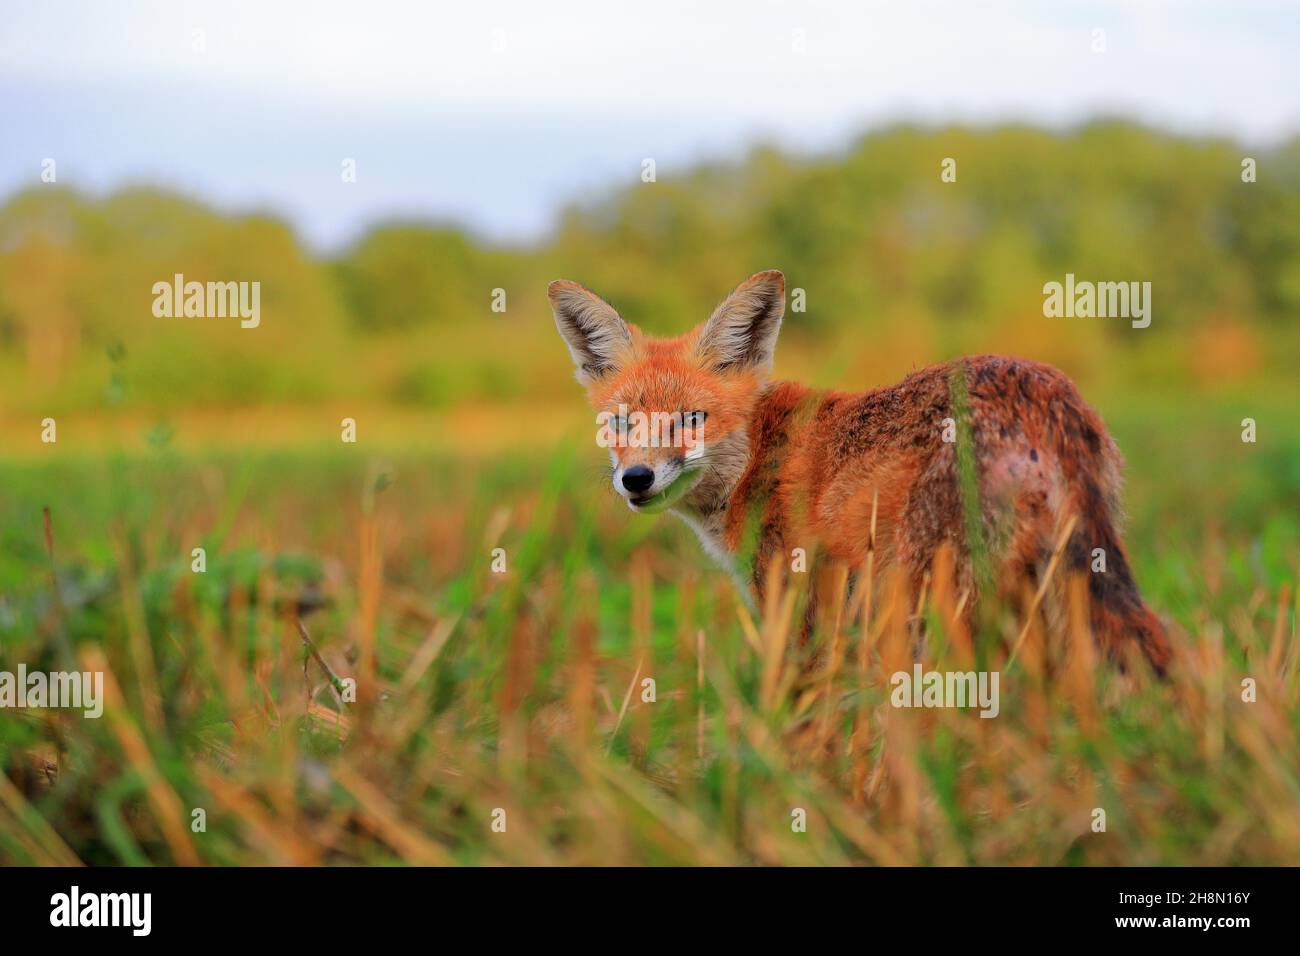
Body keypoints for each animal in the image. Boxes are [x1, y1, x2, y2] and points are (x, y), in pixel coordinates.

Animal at [548, 269, 1171, 674]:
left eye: (692, 419)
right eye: (621, 422)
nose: (636, 479)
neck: (757, 452)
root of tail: (1040, 392)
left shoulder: (796, 604)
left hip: (937, 599)